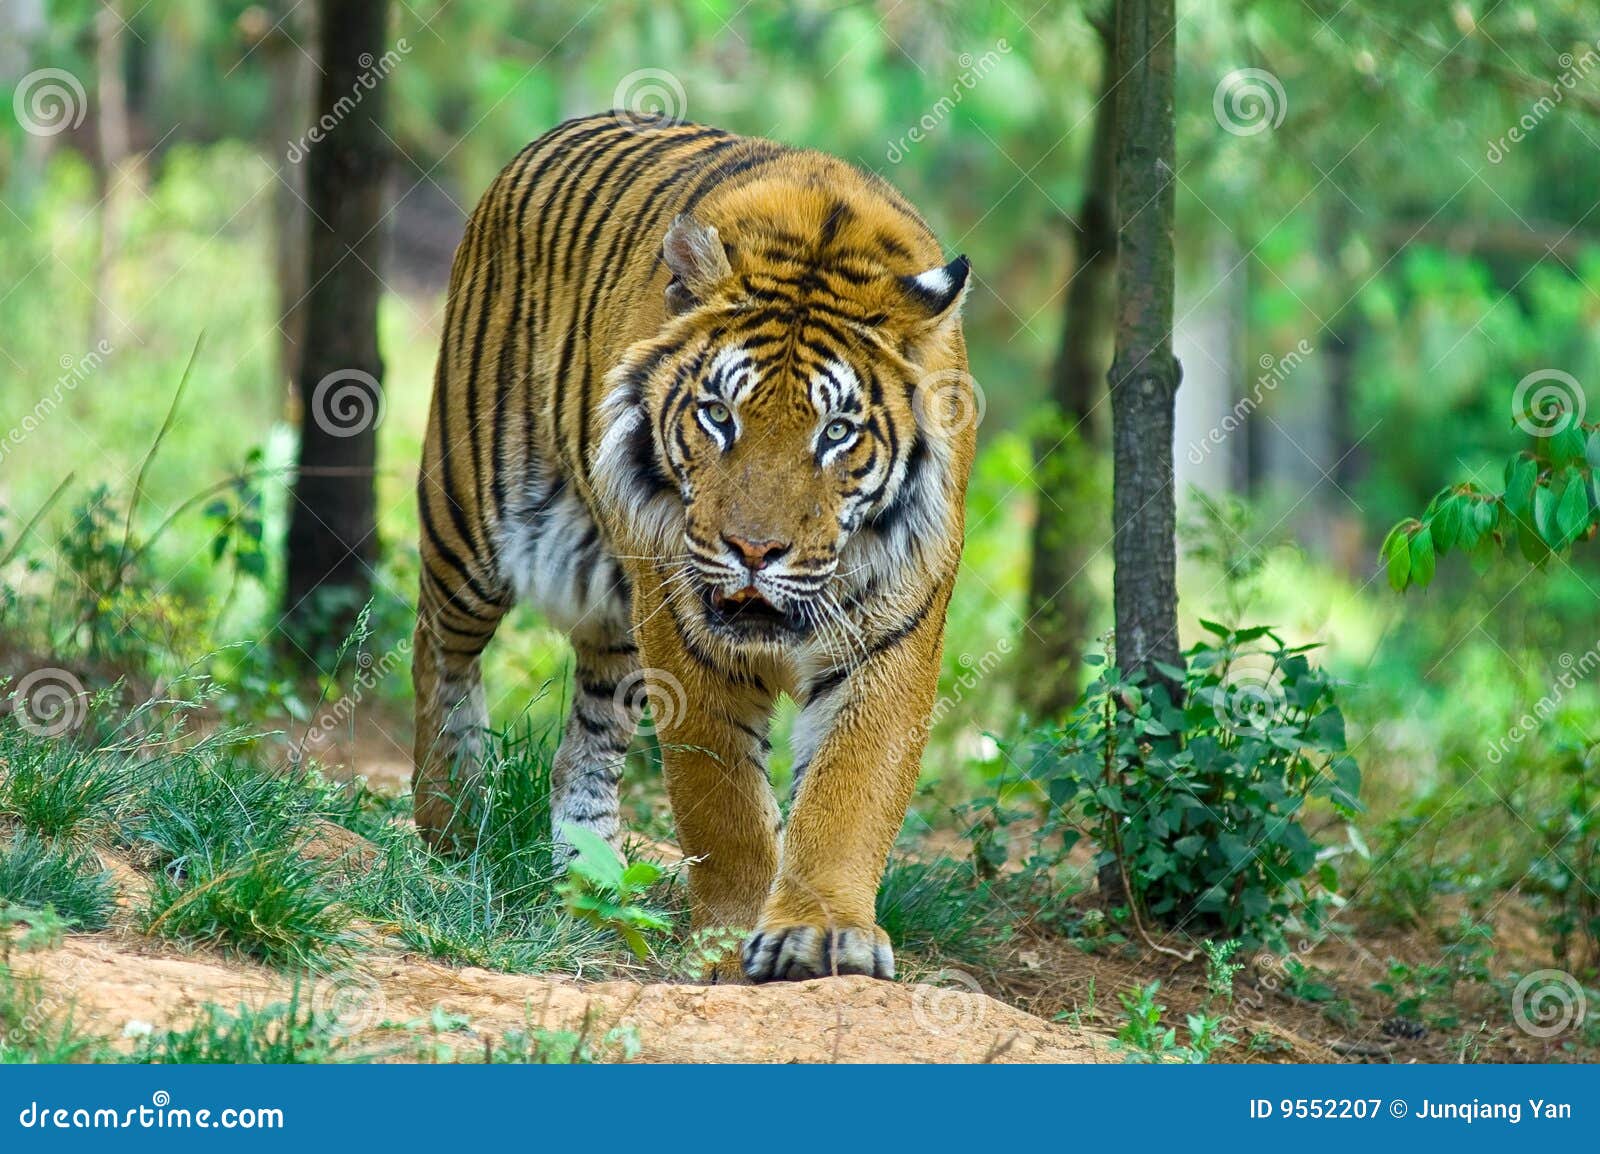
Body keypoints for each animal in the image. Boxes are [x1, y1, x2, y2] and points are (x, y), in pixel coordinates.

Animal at [412, 111, 974, 983]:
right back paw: (452, 821)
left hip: (616, 615)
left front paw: (821, 935)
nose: (754, 550)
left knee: (586, 745)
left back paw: (590, 878)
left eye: (835, 433)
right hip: (471, 522)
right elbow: (723, 802)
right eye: (719, 416)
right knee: (435, 649)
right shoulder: (687, 628)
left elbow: (852, 786)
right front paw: (730, 943)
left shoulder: (893, 632)